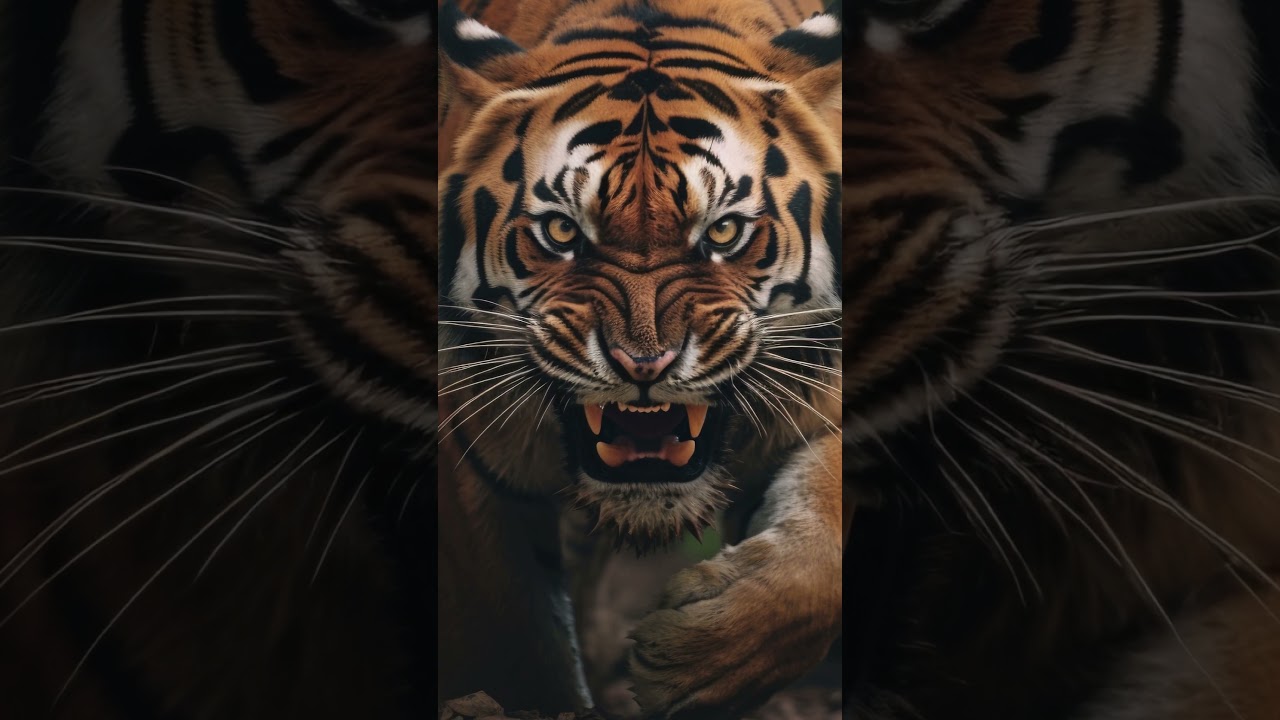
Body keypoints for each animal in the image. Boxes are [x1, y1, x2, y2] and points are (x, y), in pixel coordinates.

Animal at [435, 0, 842, 717]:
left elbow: (819, 562)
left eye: (724, 231)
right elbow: (512, 642)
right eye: (562, 231)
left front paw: (698, 661)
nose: (644, 365)